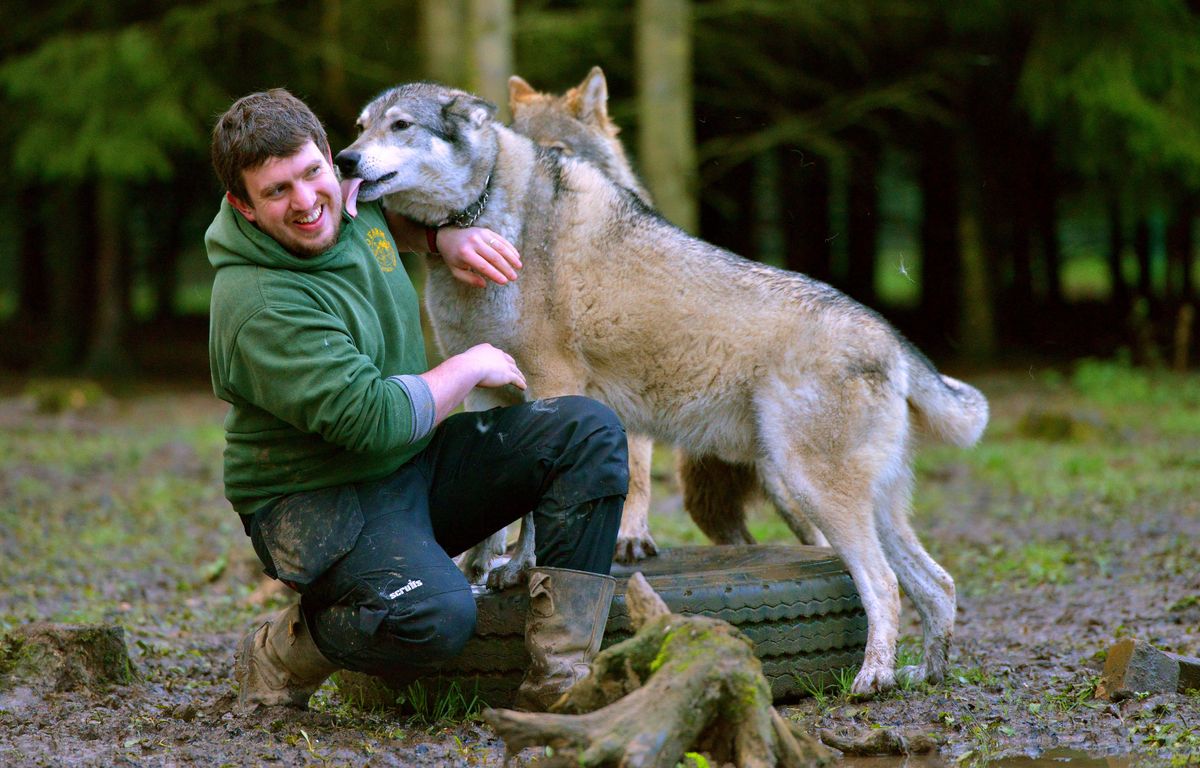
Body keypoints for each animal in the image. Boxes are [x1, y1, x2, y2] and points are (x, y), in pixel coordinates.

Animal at [334, 81, 988, 694]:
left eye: (400, 126)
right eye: (361, 126)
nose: (343, 160)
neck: (487, 209)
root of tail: (891, 337)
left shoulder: (552, 385)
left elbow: (533, 521)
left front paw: (517, 569)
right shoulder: (485, 392)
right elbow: (505, 519)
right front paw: (490, 567)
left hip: (811, 491)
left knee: (883, 584)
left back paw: (873, 679)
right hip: (862, 505)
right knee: (938, 583)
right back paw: (926, 675)